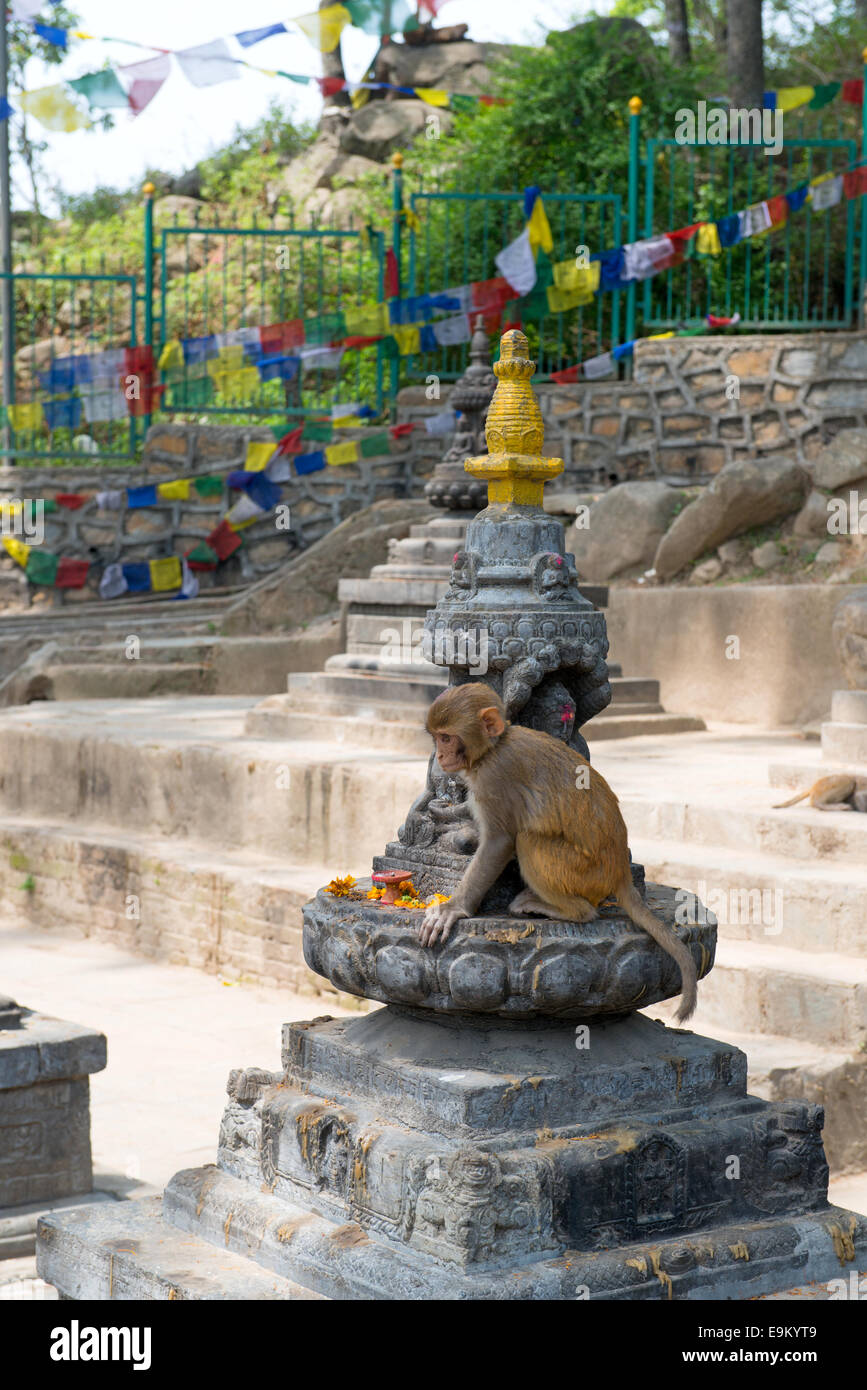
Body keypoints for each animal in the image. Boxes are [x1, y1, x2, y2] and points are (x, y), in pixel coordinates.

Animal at [419, 682, 698, 1023]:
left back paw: (567, 910)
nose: (440, 755)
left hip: (582, 872)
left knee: (529, 840)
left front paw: (453, 908)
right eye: (436, 737)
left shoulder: (494, 777)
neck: (493, 749)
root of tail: (620, 870)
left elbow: (500, 840)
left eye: (447, 737)